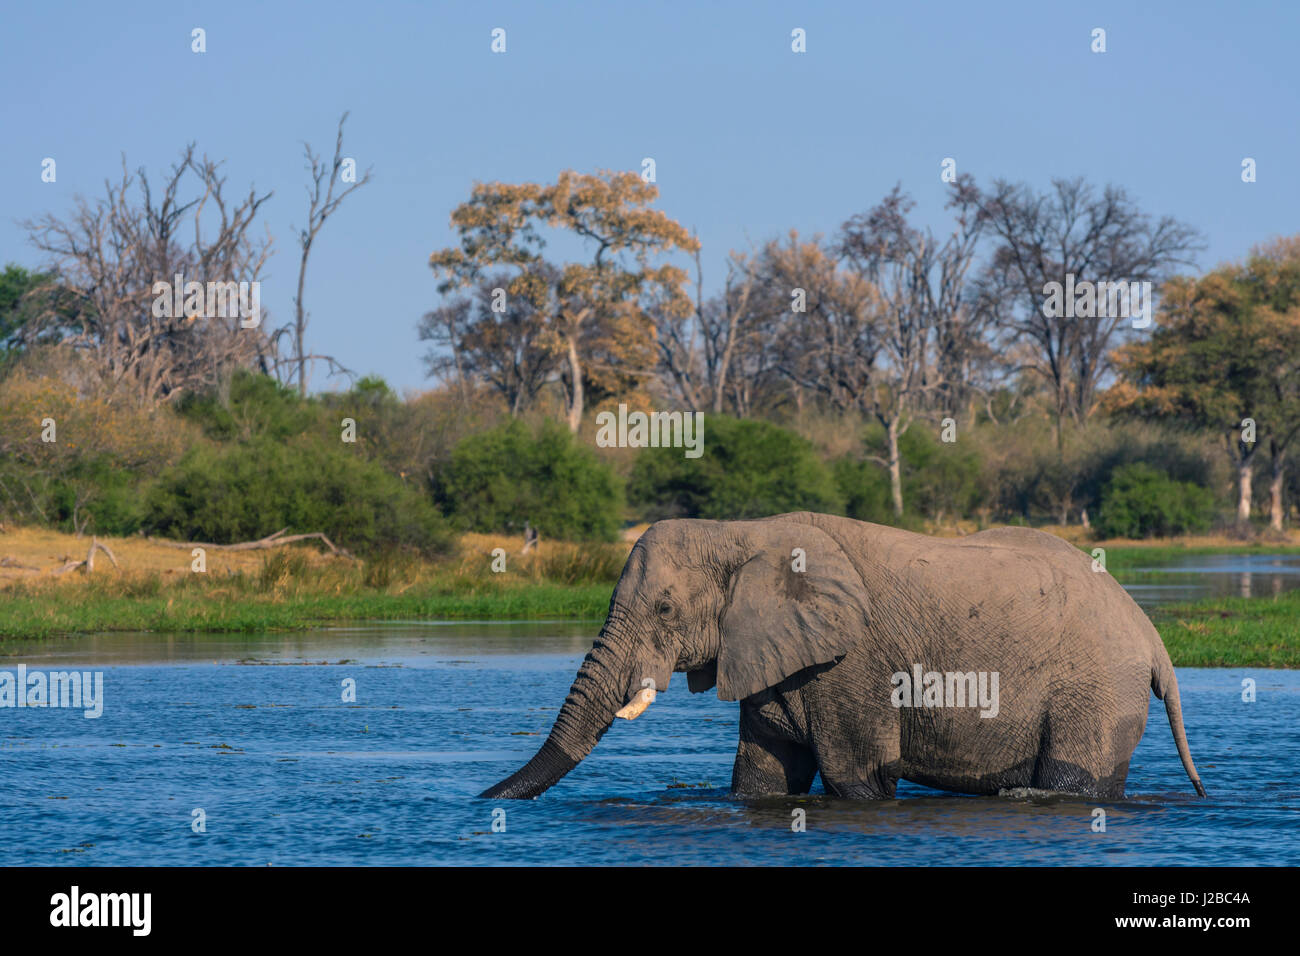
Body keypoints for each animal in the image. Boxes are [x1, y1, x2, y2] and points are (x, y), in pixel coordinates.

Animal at [480, 512, 1206, 801]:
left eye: (662, 610)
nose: (479, 800)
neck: (743, 532)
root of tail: (1152, 638)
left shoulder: (854, 664)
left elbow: (858, 782)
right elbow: (764, 780)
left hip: (1096, 687)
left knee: (1070, 779)